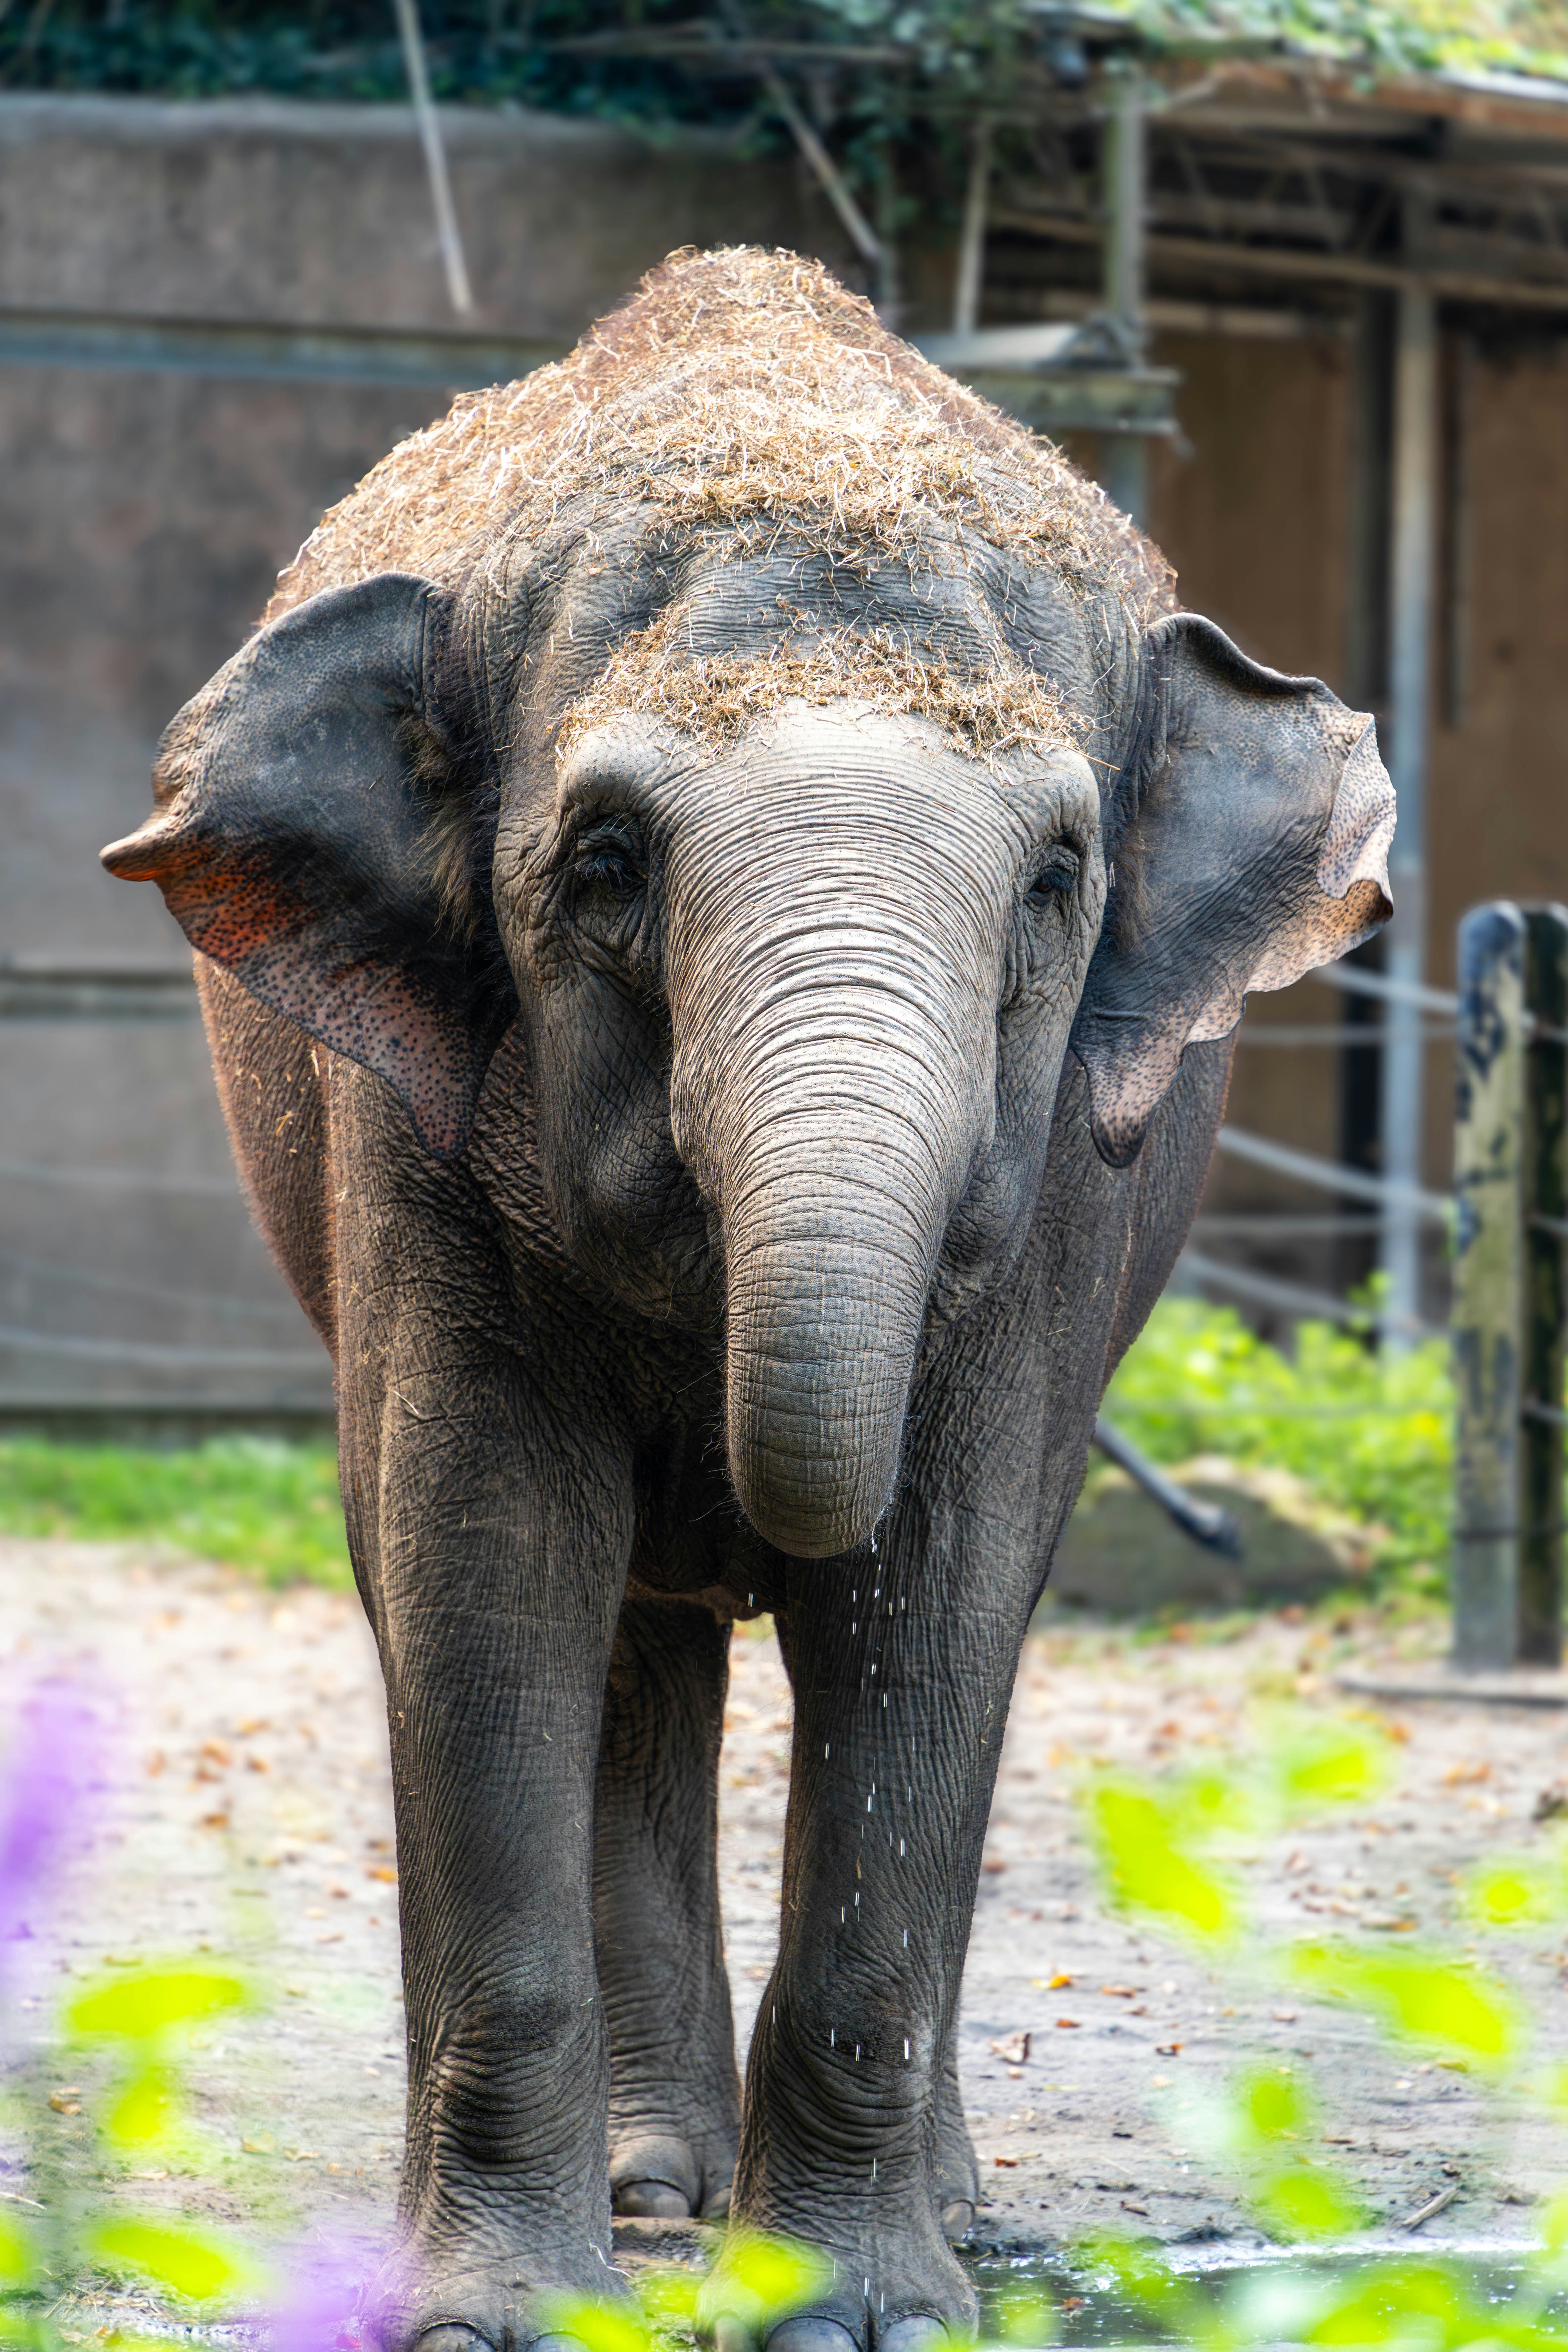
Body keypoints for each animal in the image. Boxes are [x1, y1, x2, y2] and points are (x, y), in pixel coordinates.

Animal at [102, 246, 1394, 2352]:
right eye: (607, 863)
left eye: (1056, 879)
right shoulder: (419, 1129)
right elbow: (484, 1554)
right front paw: (486, 2317)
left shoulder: (1062, 1197)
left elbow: (935, 1593)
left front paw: (860, 2313)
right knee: (617, 1647)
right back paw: (650, 2193)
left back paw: (917, 2211)